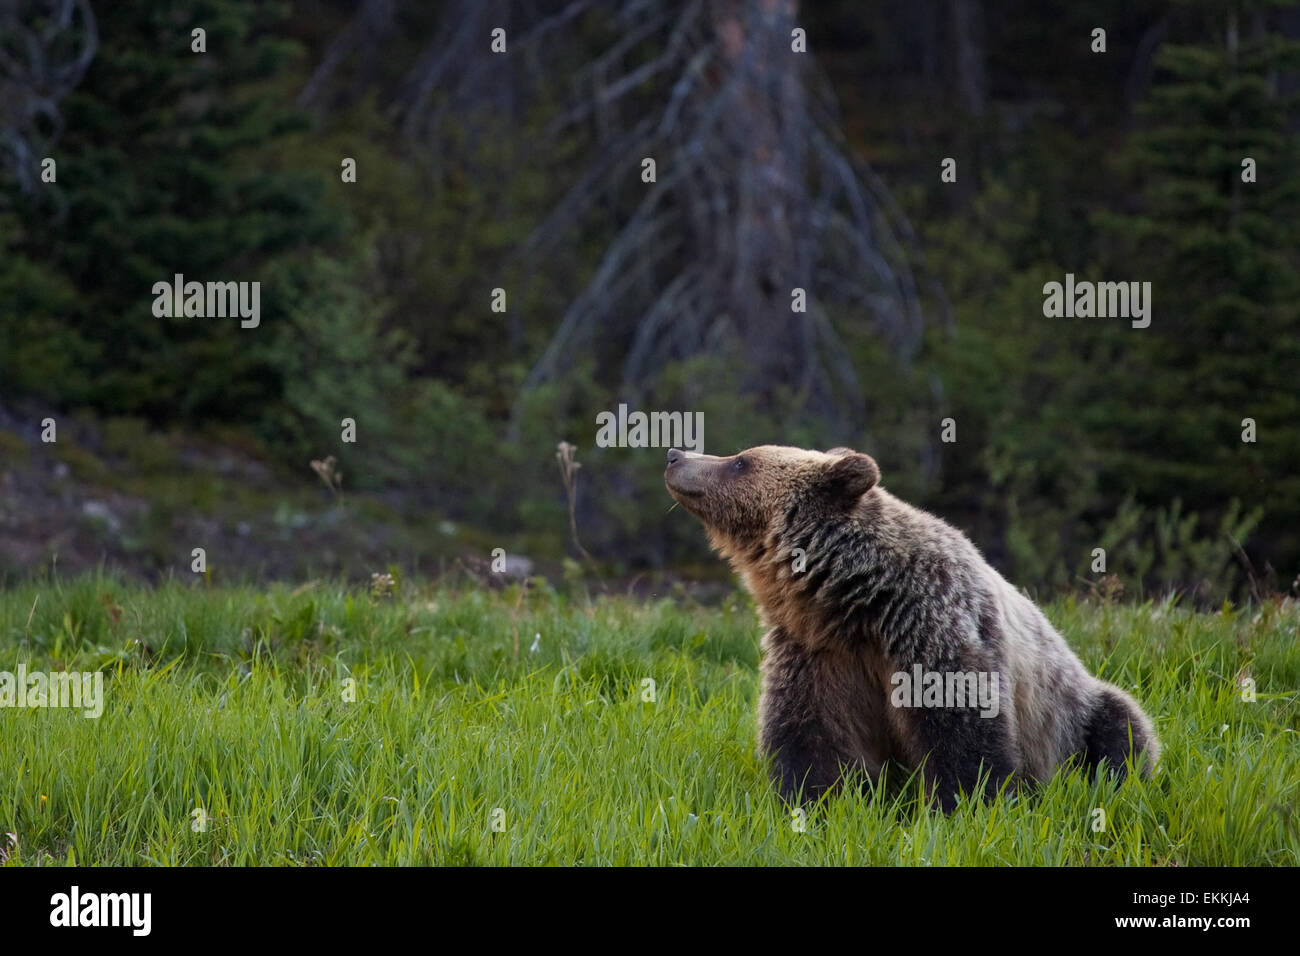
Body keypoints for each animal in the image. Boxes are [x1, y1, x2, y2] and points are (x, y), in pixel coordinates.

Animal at [664, 444, 1159, 811]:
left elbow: (961, 732)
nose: (674, 454)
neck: (854, 602)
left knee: (1122, 729)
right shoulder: (817, 652)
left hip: (1072, 710)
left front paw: (964, 806)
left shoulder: (934, 627)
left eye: (741, 460)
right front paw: (814, 804)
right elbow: (811, 735)